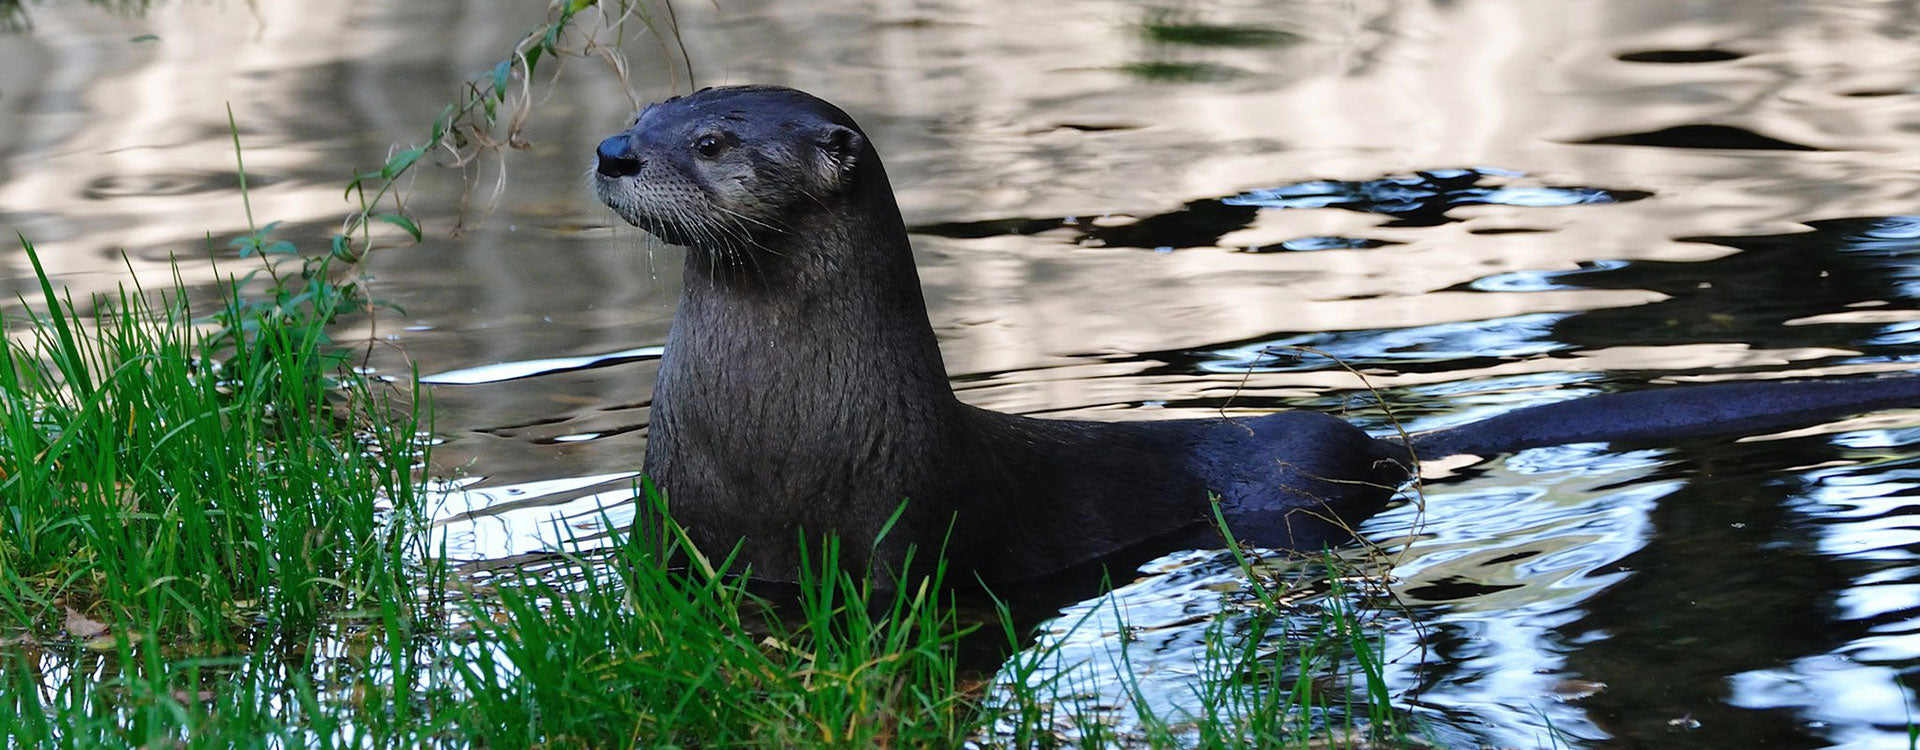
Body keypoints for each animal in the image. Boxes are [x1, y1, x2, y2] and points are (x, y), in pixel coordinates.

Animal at [592, 85, 1920, 587]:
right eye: (648, 109)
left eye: (712, 141)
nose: (611, 150)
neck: (771, 447)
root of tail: (1379, 444)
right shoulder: (668, 528)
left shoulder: (903, 541)